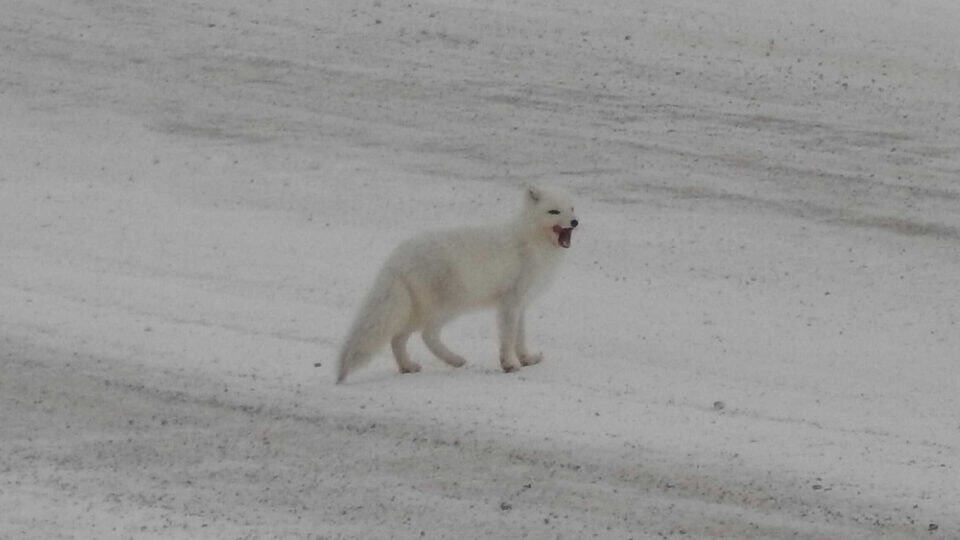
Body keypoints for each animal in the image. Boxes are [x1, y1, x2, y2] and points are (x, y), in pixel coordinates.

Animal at [325, 185, 579, 383]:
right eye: (553, 211)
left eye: (572, 208)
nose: (575, 222)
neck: (531, 240)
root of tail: (397, 258)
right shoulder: (510, 303)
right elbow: (507, 338)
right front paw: (509, 364)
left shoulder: (522, 304)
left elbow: (520, 337)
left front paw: (527, 359)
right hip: (449, 306)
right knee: (425, 336)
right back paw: (455, 360)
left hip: (421, 310)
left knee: (398, 338)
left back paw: (408, 367)